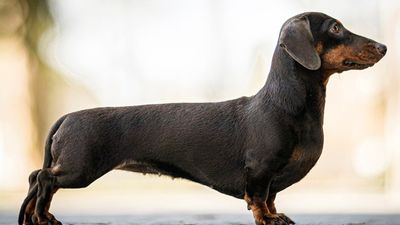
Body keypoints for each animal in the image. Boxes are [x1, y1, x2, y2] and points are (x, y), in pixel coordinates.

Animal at [18, 11, 384, 225]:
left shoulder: (272, 178)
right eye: (335, 27)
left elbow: (272, 197)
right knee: (43, 178)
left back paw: (39, 215)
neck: (287, 105)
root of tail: (67, 116)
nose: (383, 47)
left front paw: (276, 214)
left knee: (37, 179)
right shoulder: (261, 169)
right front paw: (267, 219)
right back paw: (42, 217)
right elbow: (259, 198)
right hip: (80, 169)